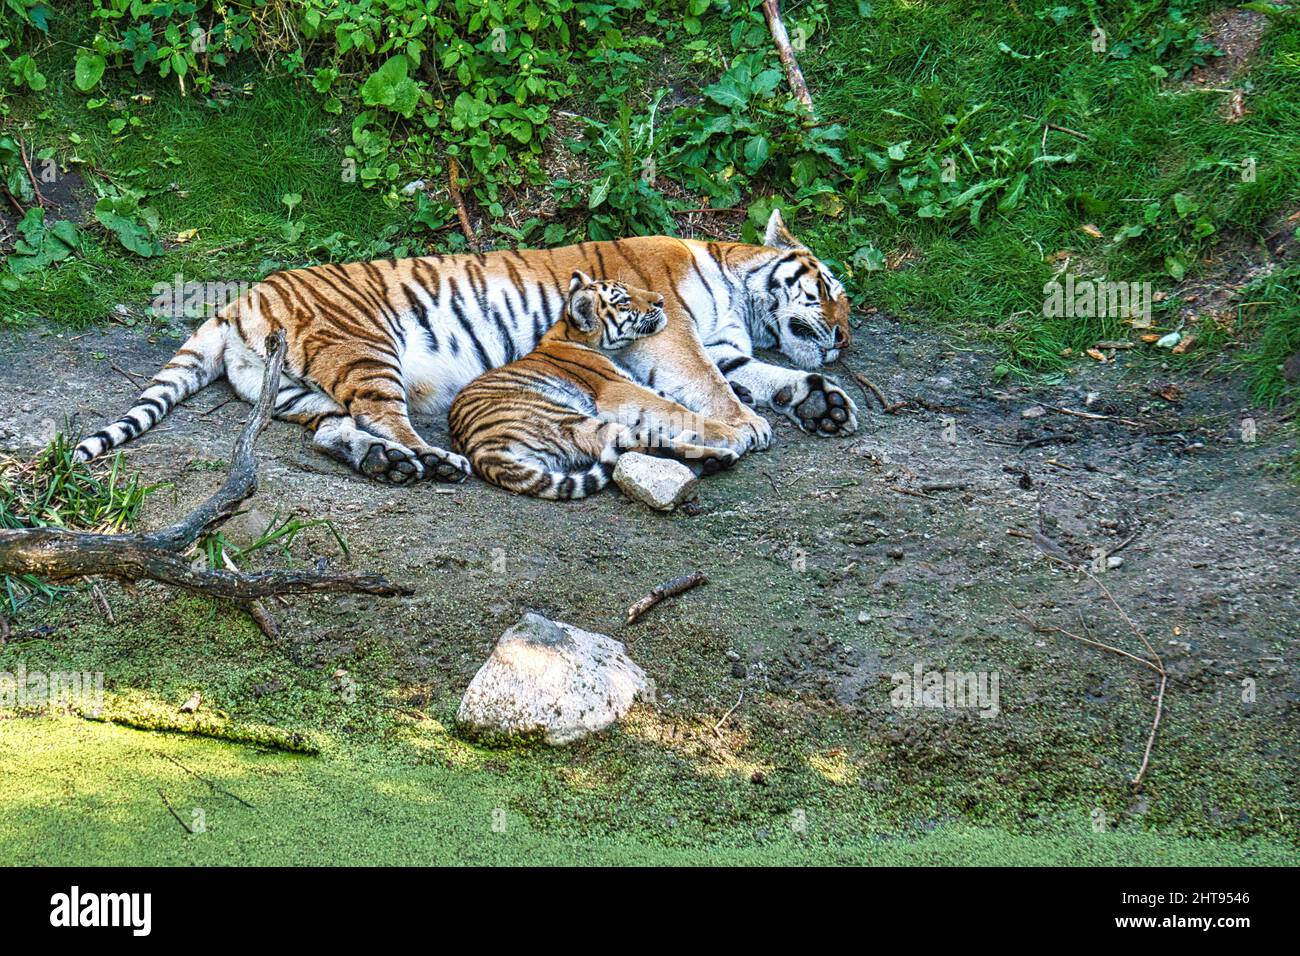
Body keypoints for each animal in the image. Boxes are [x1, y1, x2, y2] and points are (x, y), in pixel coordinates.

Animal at [449, 271, 742, 500]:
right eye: (624, 300)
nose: (661, 300)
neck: (571, 333)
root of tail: (483, 452)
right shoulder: (618, 388)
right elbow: (673, 408)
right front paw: (728, 431)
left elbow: (669, 398)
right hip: (575, 421)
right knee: (641, 444)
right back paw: (720, 454)